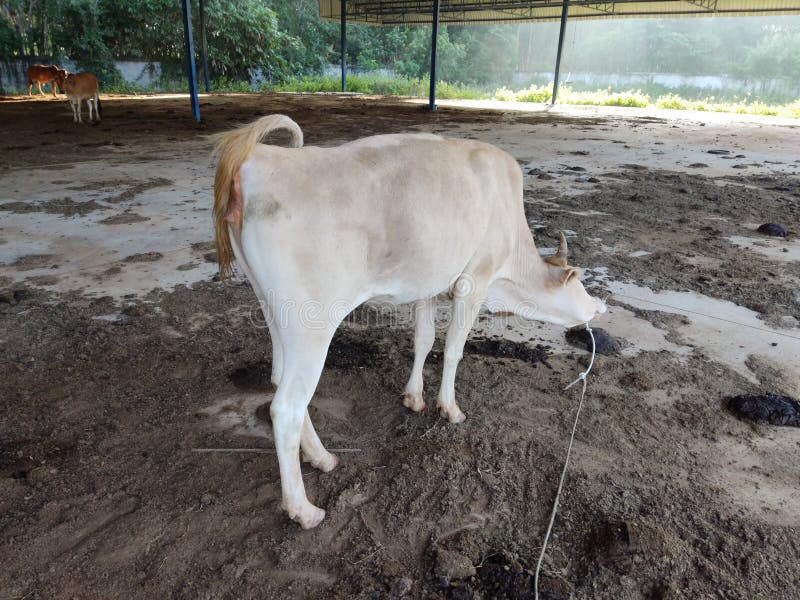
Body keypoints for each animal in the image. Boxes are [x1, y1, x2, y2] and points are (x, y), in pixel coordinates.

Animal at [211, 114, 607, 529]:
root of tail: (260, 158)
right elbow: (453, 348)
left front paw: (414, 397)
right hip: (312, 322)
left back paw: (322, 458)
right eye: (580, 281)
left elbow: (424, 339)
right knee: (286, 406)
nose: (600, 305)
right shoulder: (474, 281)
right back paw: (303, 509)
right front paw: (449, 408)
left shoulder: (427, 282)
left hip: (273, 308)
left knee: (279, 381)